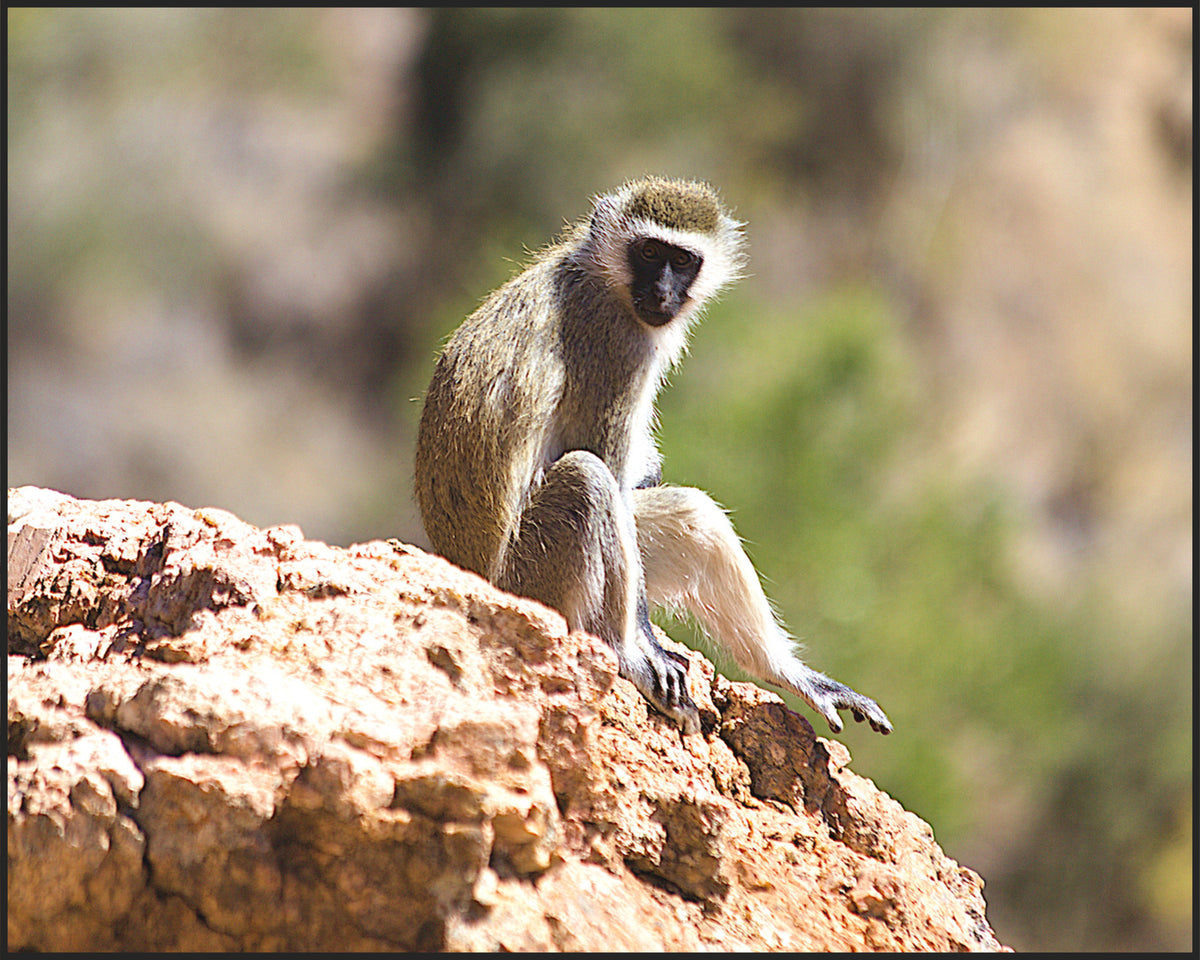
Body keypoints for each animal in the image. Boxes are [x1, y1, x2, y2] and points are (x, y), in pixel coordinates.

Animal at [415, 176, 891, 737]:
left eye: (682, 260)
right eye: (647, 252)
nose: (662, 292)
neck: (603, 278)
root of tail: (467, 575)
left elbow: (640, 488)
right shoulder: (614, 346)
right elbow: (608, 469)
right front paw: (644, 648)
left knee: (692, 513)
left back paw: (786, 673)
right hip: (526, 585)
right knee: (591, 481)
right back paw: (625, 653)